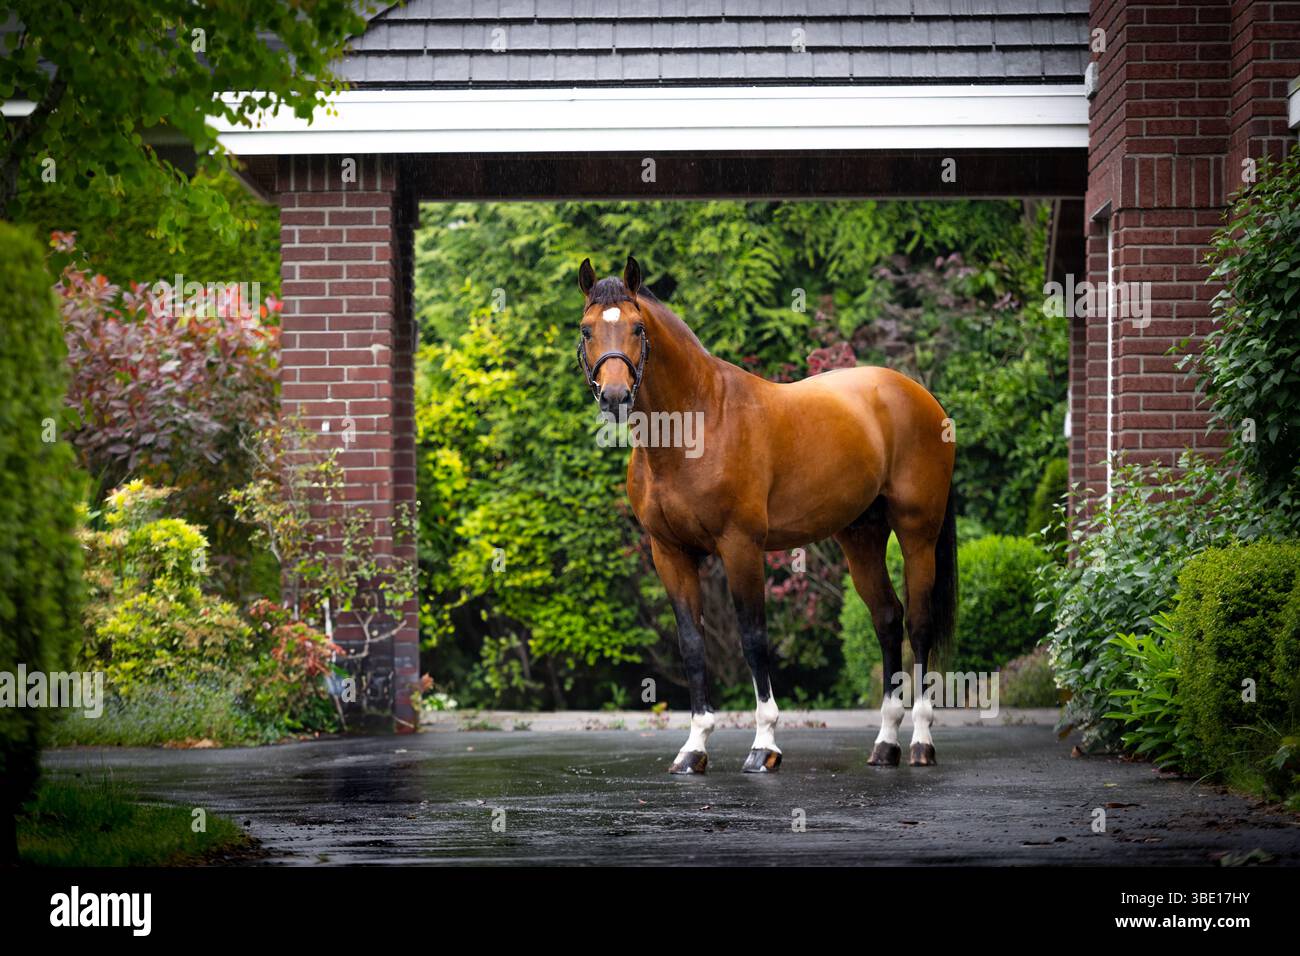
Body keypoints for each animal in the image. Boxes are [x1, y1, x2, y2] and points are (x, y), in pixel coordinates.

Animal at [577, 255, 957, 774]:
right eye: (586, 329)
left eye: (637, 327)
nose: (614, 397)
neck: (698, 420)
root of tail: (919, 394)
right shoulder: (669, 552)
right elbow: (691, 643)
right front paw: (694, 749)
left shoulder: (740, 546)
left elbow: (753, 638)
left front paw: (764, 745)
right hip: (861, 537)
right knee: (886, 617)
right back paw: (885, 744)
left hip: (918, 532)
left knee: (917, 622)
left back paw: (920, 742)